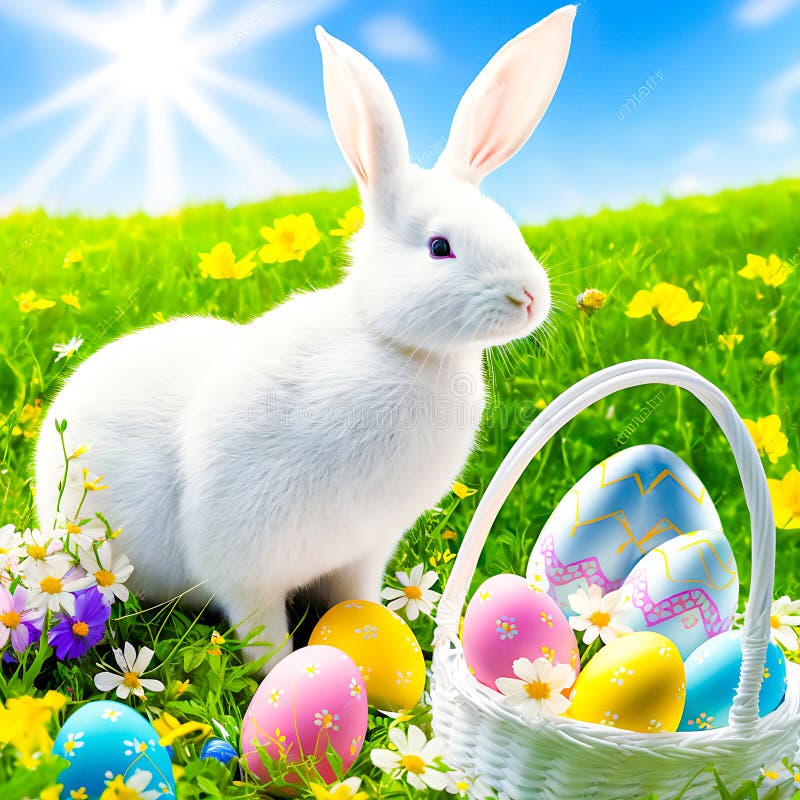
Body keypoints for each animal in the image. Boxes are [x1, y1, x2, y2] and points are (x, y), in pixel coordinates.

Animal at [34, 5, 576, 672]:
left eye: (508, 225)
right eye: (439, 247)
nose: (529, 299)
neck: (394, 344)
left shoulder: (362, 553)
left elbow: (356, 605)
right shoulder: (245, 569)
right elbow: (264, 639)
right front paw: (280, 678)